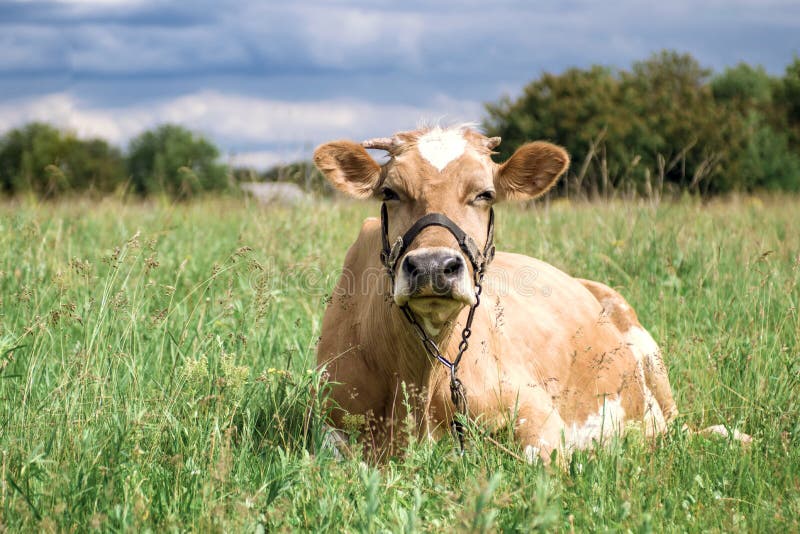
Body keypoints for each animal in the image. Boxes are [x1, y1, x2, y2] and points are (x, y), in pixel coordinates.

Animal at [313, 125, 741, 463]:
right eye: (390, 191)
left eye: (484, 194)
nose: (433, 266)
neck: (421, 375)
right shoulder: (329, 423)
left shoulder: (539, 417)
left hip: (652, 364)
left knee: (678, 431)